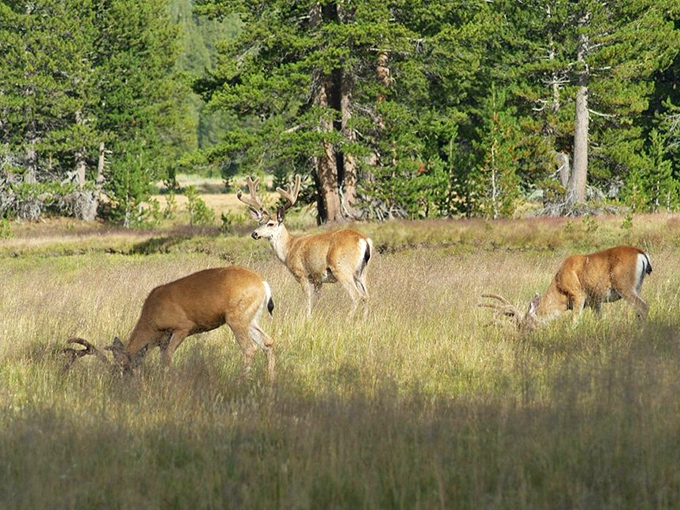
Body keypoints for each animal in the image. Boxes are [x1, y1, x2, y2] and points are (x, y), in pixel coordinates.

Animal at [63, 266, 276, 382]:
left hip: (236, 318)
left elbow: (167, 357)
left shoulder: (183, 327)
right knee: (268, 343)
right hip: (250, 319)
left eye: (122, 368)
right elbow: (162, 358)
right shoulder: (162, 340)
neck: (151, 319)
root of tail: (263, 284)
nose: (118, 384)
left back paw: (240, 382)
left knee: (250, 348)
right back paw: (269, 382)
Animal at [237, 175, 373, 317]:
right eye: (260, 222)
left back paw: (348, 319)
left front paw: (308, 316)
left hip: (342, 268)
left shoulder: (302, 274)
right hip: (362, 271)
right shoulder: (318, 279)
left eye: (271, 223)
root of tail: (364, 240)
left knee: (356, 296)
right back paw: (364, 319)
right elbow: (317, 299)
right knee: (366, 296)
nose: (254, 233)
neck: (289, 249)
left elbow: (308, 299)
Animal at [480, 245, 652, 333]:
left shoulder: (578, 295)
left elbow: (575, 320)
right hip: (637, 287)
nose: (523, 336)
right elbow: (600, 319)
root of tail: (641, 253)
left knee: (643, 306)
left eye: (525, 324)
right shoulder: (595, 301)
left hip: (624, 286)